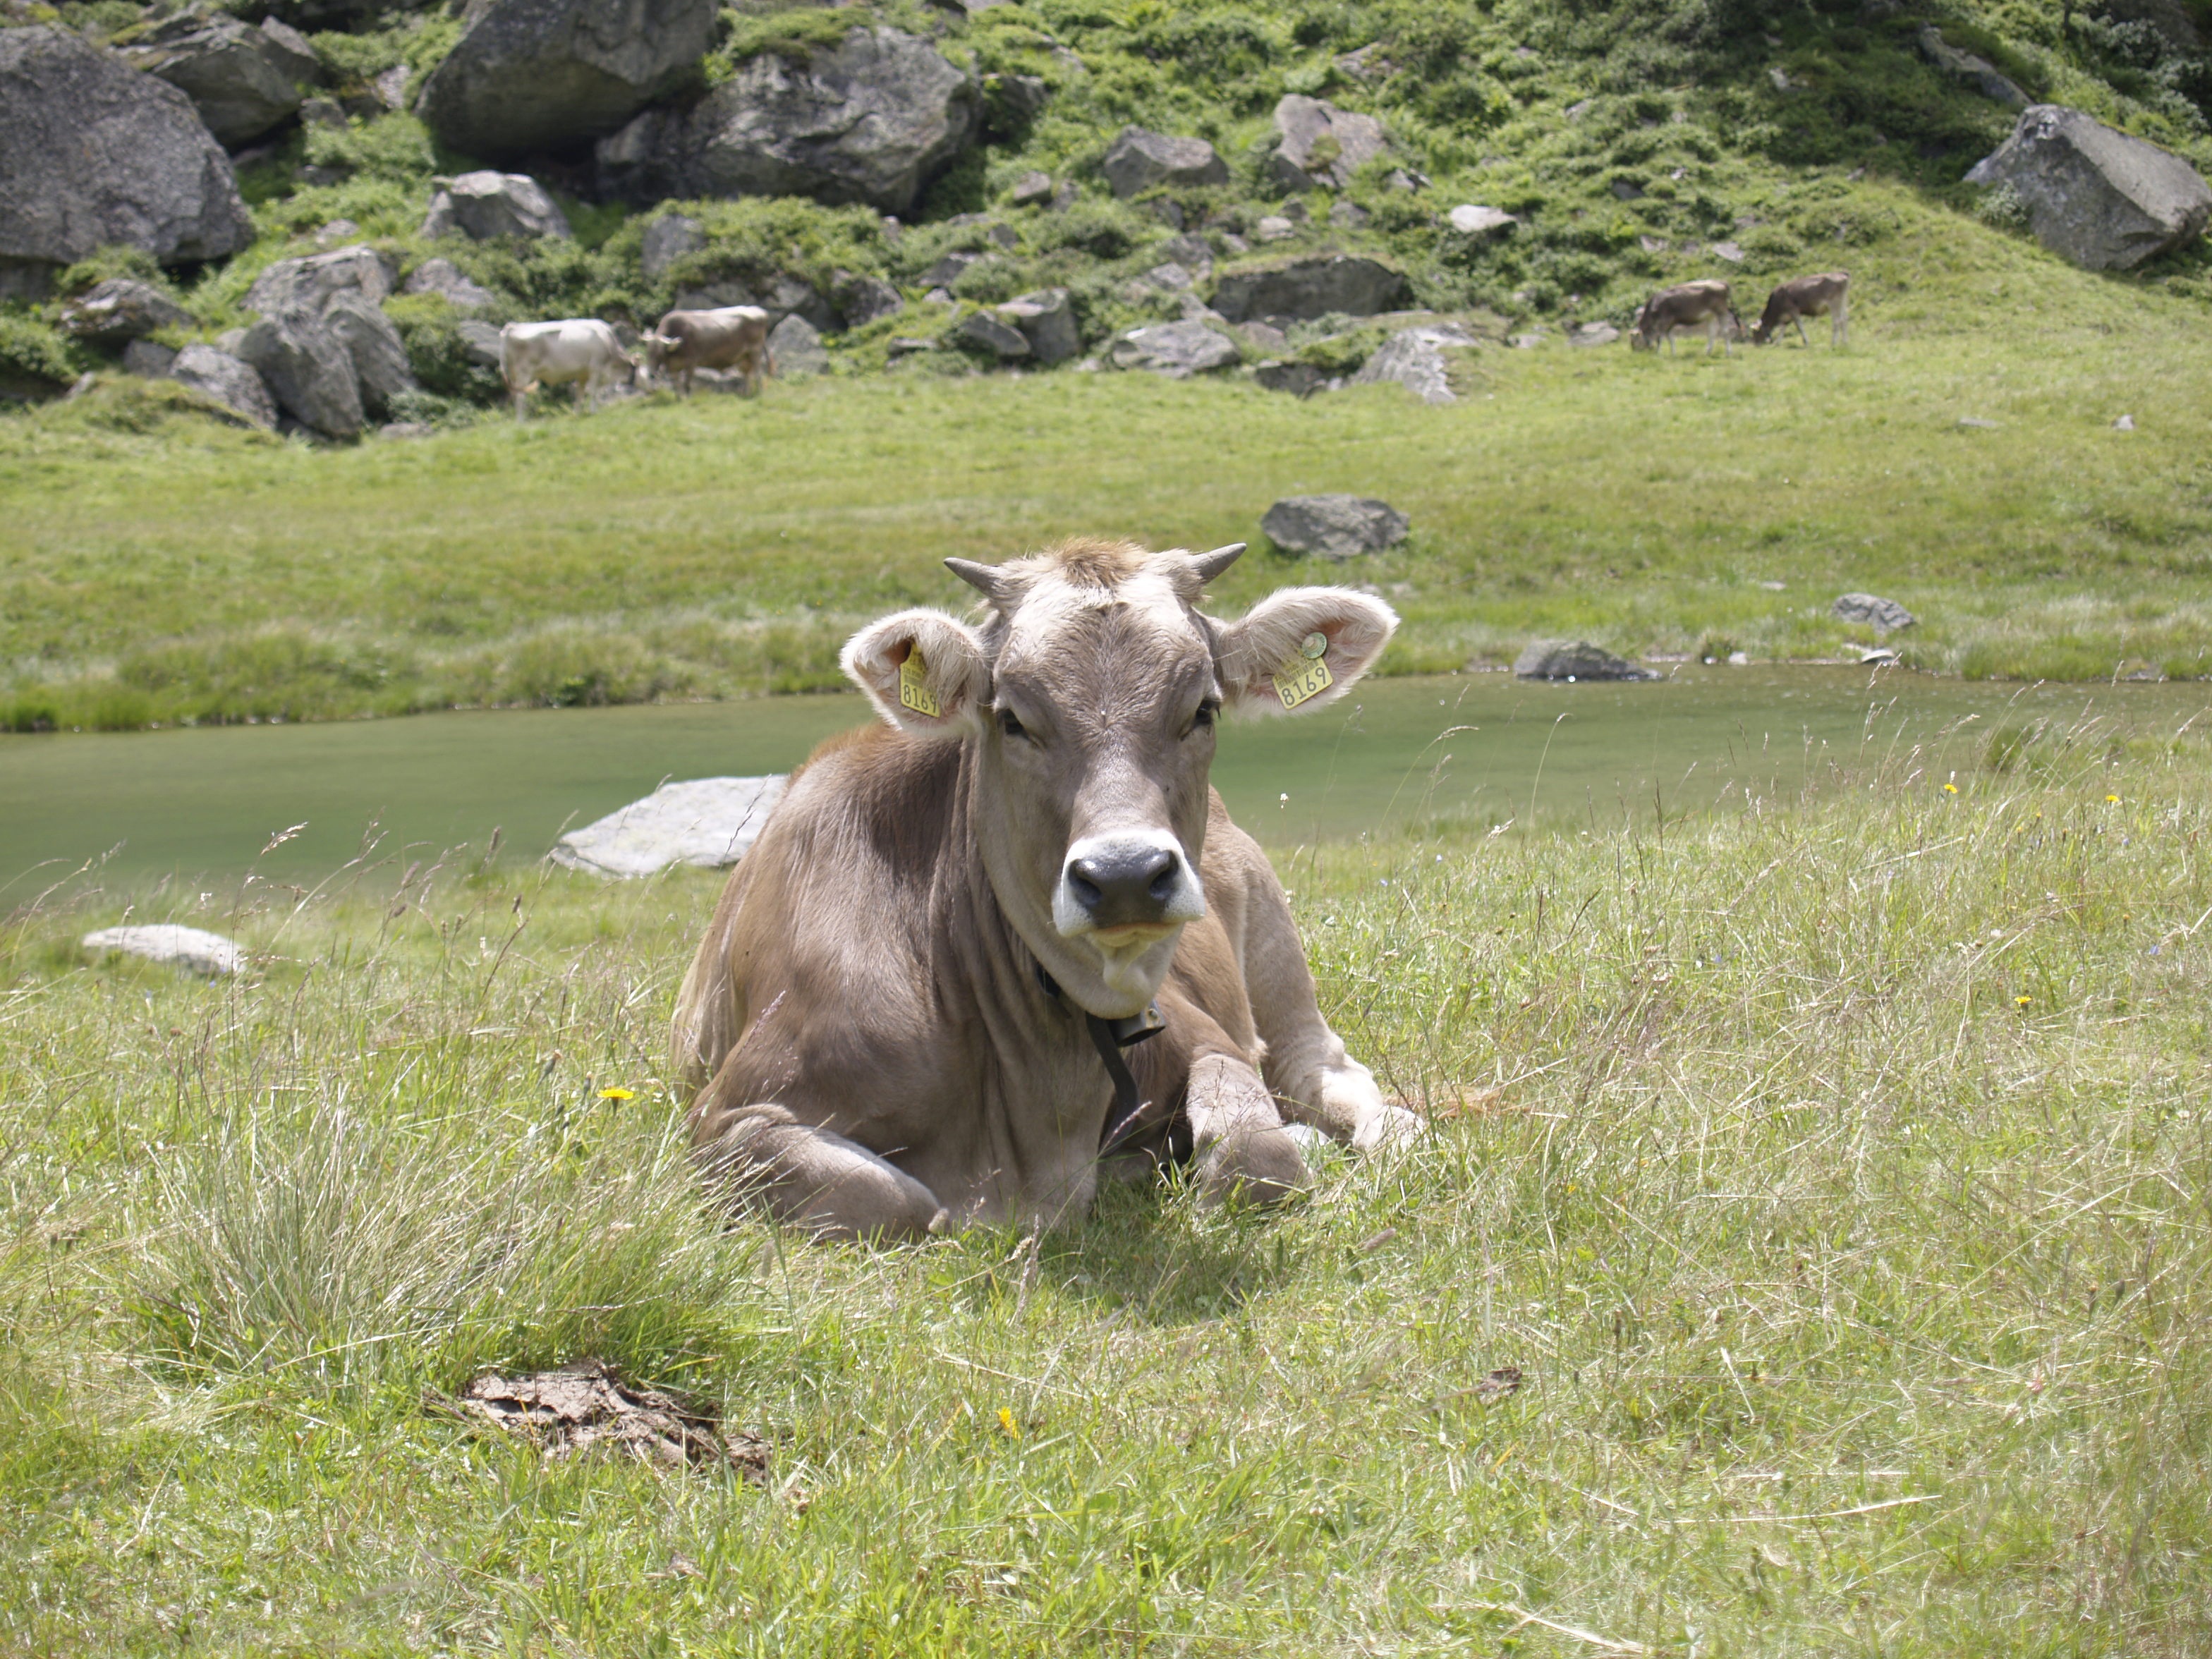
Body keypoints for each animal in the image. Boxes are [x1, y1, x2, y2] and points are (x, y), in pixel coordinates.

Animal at [498, 319, 643, 420]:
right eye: (638, 370)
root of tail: (512, 326)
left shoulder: (582, 374)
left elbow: (579, 394)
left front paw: (577, 414)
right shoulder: (596, 368)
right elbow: (593, 393)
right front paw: (593, 412)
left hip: (514, 375)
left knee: (514, 395)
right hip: (524, 373)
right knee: (520, 397)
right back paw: (521, 422)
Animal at [644, 305, 774, 397]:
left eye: (660, 353)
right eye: (648, 352)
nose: (651, 374)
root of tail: (760, 310)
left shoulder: (691, 362)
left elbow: (687, 383)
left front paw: (687, 399)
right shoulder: (673, 367)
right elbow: (676, 385)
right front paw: (679, 399)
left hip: (755, 351)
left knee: (758, 373)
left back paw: (759, 394)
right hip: (744, 357)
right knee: (747, 375)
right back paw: (746, 394)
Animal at [672, 538, 1421, 1241]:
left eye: (1204, 710)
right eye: (1012, 719)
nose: (1125, 875)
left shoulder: (1211, 1037)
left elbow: (1259, 1156)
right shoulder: (729, 1119)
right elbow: (903, 1203)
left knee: (1323, 1070)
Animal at [1629, 280, 1743, 357]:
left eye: (1634, 341)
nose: (1634, 351)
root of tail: (1721, 282)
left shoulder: (1664, 322)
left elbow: (1660, 338)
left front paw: (1659, 353)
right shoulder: (1670, 324)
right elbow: (1671, 339)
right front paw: (1673, 354)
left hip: (1721, 311)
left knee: (1725, 331)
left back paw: (1728, 352)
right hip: (1710, 315)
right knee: (1712, 333)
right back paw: (1708, 352)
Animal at [1751, 272, 1850, 348]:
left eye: (1755, 332)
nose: (1755, 344)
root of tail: (1842, 274)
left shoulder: (1793, 311)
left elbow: (1800, 327)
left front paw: (1806, 342)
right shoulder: (1786, 317)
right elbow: (1783, 329)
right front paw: (1777, 343)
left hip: (1834, 304)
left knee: (1837, 321)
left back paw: (1833, 343)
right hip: (1843, 303)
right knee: (1844, 320)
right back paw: (1844, 342)